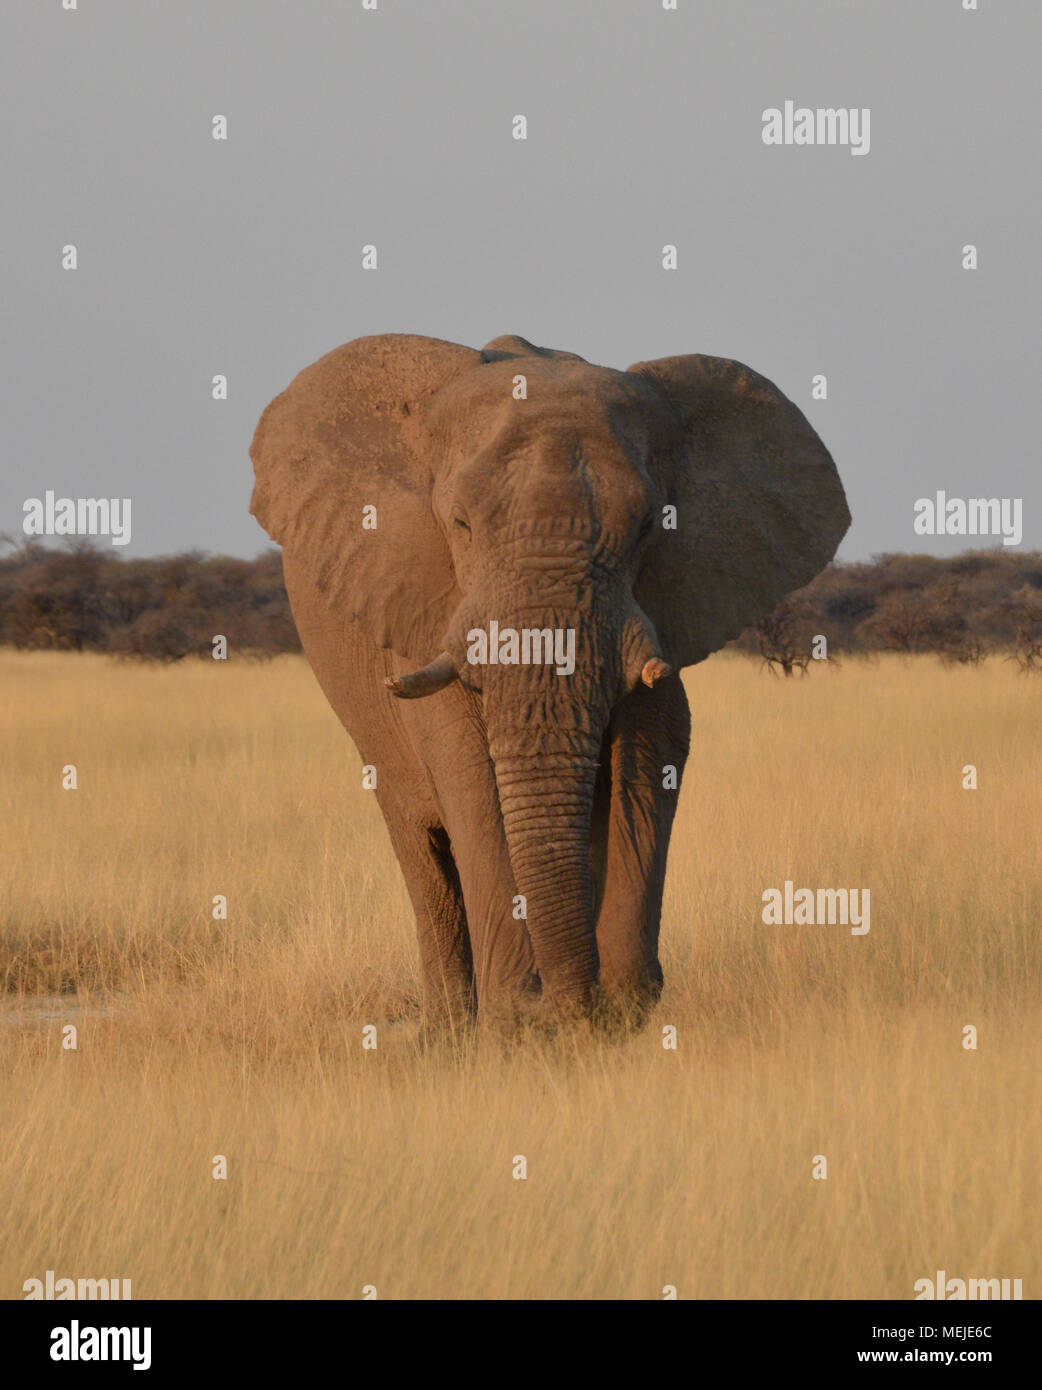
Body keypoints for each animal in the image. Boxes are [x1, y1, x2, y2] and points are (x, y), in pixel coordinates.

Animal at [249, 333, 849, 1033]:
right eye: (460, 525)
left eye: (651, 527)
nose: (567, 1007)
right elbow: (472, 783)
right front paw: (522, 1024)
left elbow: (649, 765)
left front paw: (616, 1011)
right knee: (422, 849)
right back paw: (451, 1033)